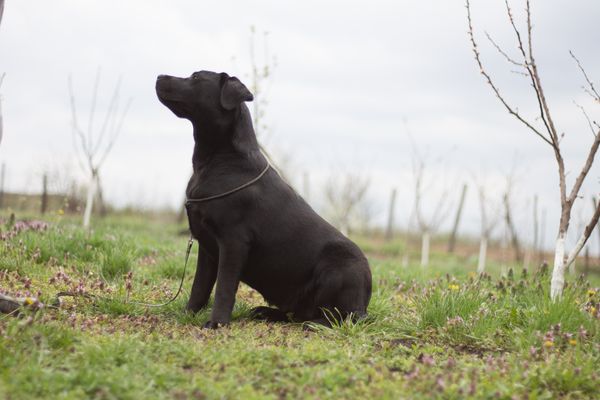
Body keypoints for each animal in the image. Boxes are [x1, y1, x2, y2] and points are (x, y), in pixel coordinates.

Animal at [155, 71, 370, 328]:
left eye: (196, 77)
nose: (159, 76)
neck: (215, 161)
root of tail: (365, 300)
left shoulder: (233, 241)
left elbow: (224, 287)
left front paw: (217, 323)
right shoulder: (206, 246)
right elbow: (200, 287)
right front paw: (188, 314)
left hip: (339, 268)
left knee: (339, 316)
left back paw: (315, 324)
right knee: (298, 313)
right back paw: (266, 312)